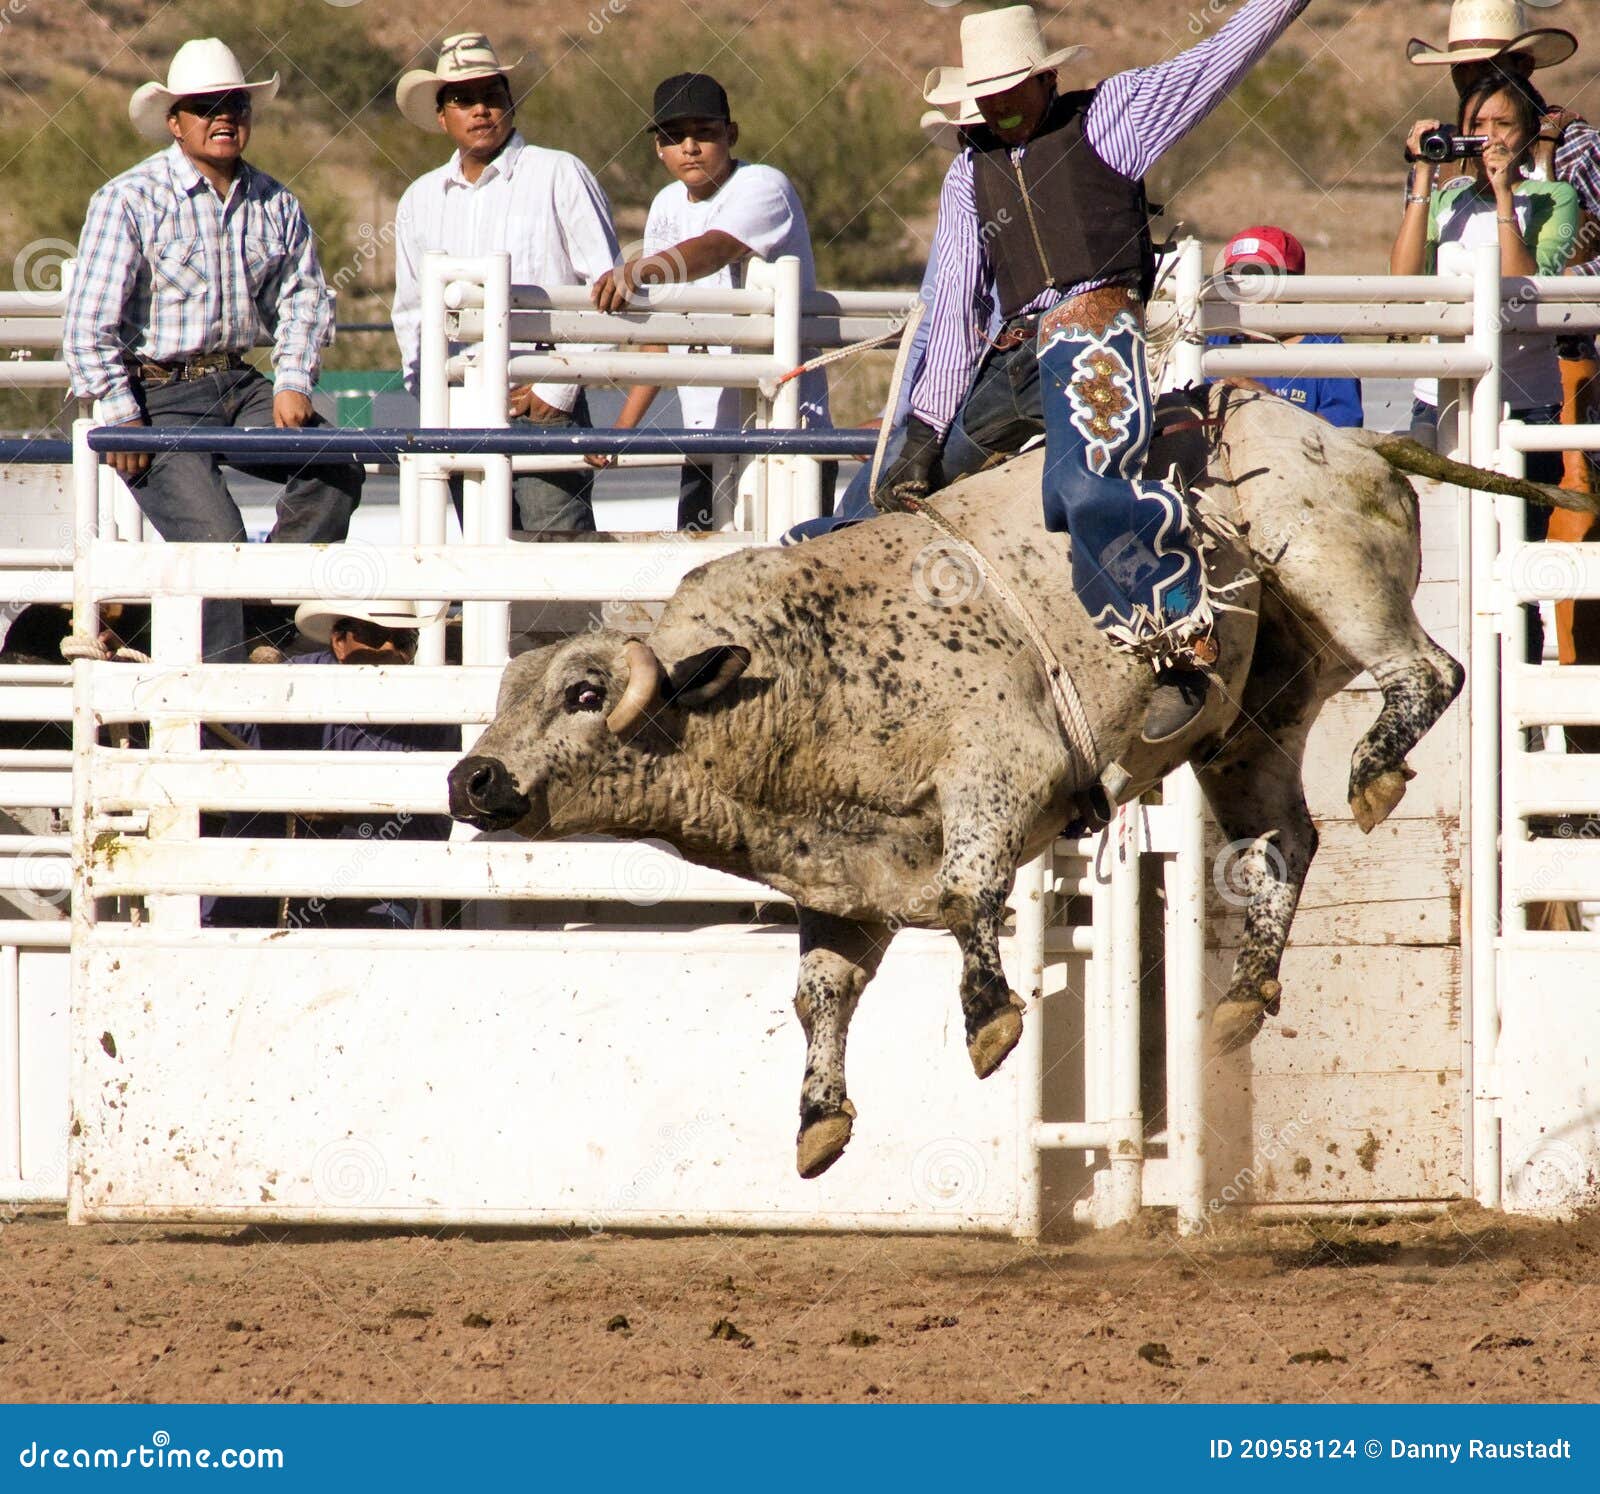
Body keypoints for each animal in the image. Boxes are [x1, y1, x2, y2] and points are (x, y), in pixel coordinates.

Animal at [447, 387, 1577, 1180]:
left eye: (586, 693)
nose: (471, 779)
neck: (795, 677)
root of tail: (1352, 441)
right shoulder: (844, 882)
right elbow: (820, 992)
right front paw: (820, 1121)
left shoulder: (1002, 773)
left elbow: (963, 894)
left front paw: (991, 1019)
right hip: (1257, 716)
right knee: (1285, 840)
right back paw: (1244, 995)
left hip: (1339, 583)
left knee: (1430, 672)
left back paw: (1378, 769)